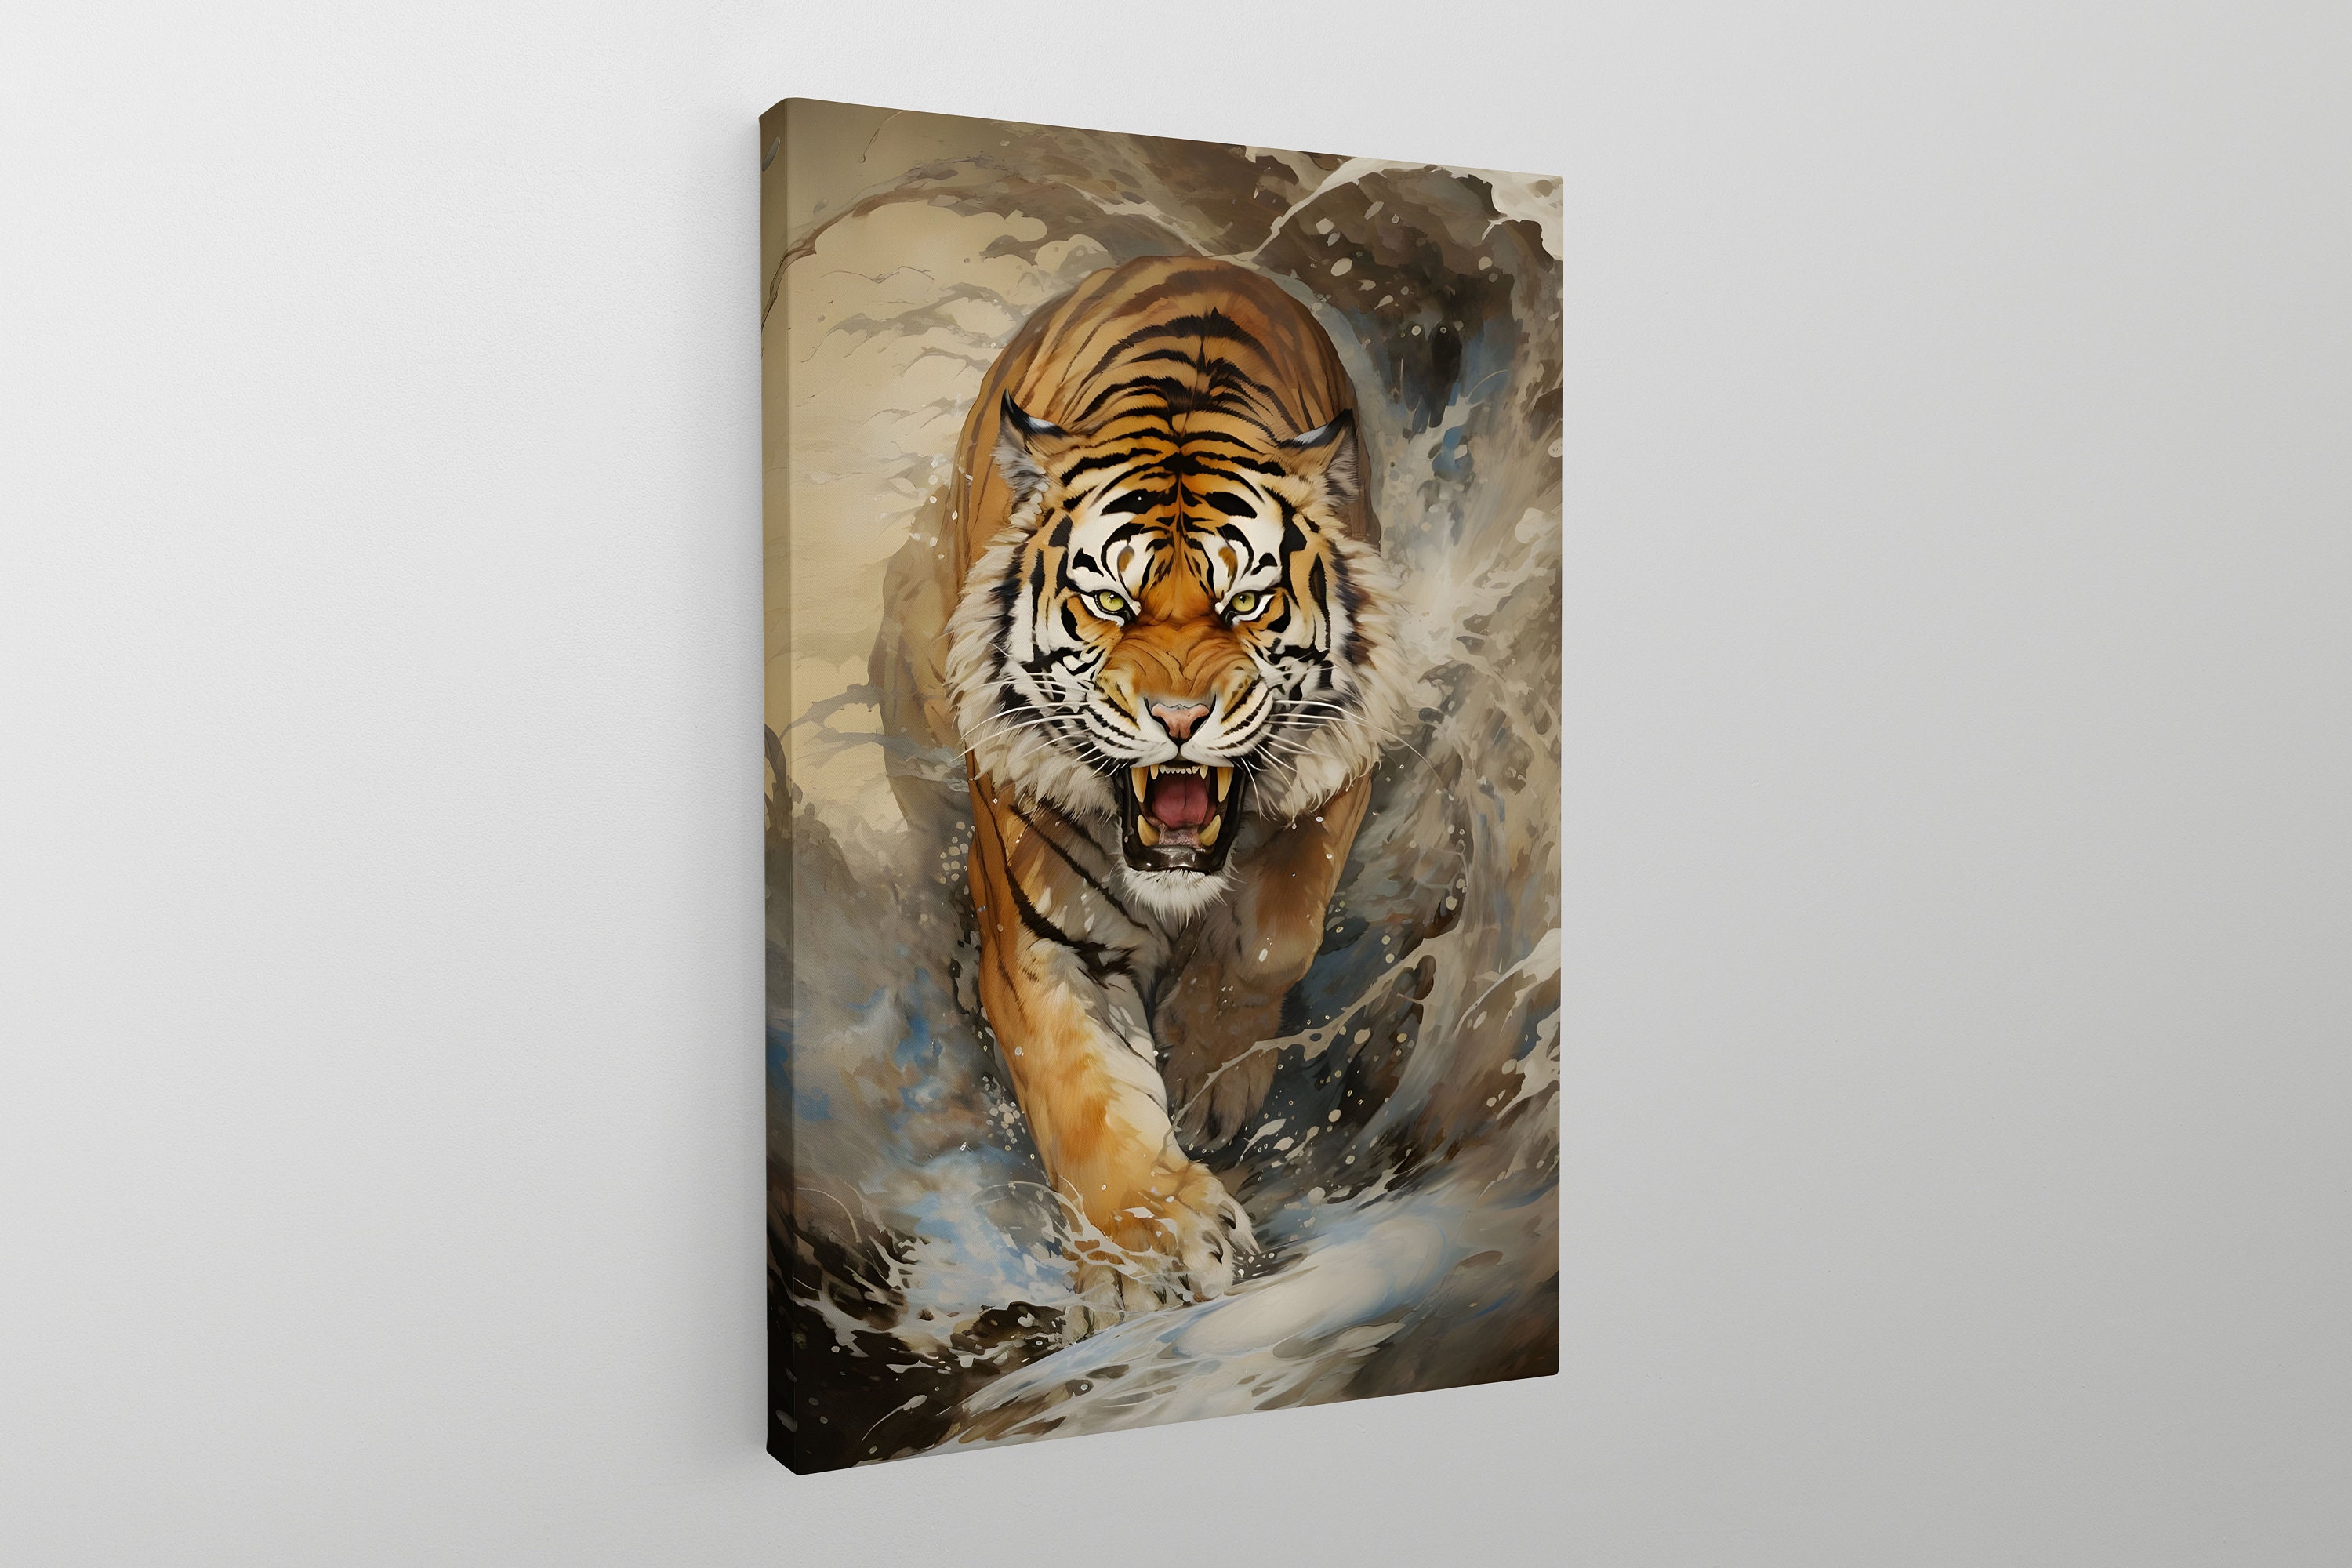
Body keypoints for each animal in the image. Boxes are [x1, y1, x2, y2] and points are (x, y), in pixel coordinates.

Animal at [919, 255, 1409, 1336]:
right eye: (1109, 601)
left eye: (1247, 601)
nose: (1179, 717)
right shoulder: (1036, 929)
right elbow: (1078, 1077)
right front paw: (1149, 1244)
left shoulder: (1340, 778)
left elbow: (1276, 936)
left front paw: (1203, 1069)